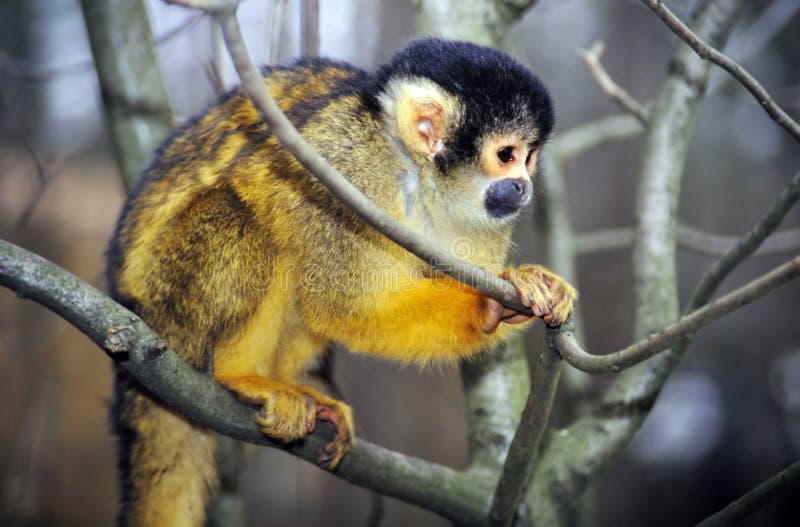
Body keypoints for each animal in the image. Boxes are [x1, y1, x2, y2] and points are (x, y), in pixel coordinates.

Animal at [105, 37, 576, 526]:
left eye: (530, 158)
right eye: (506, 155)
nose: (523, 185)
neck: (417, 177)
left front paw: (523, 292)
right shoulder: (344, 172)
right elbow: (343, 303)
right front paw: (489, 306)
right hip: (170, 299)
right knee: (250, 214)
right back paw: (238, 375)